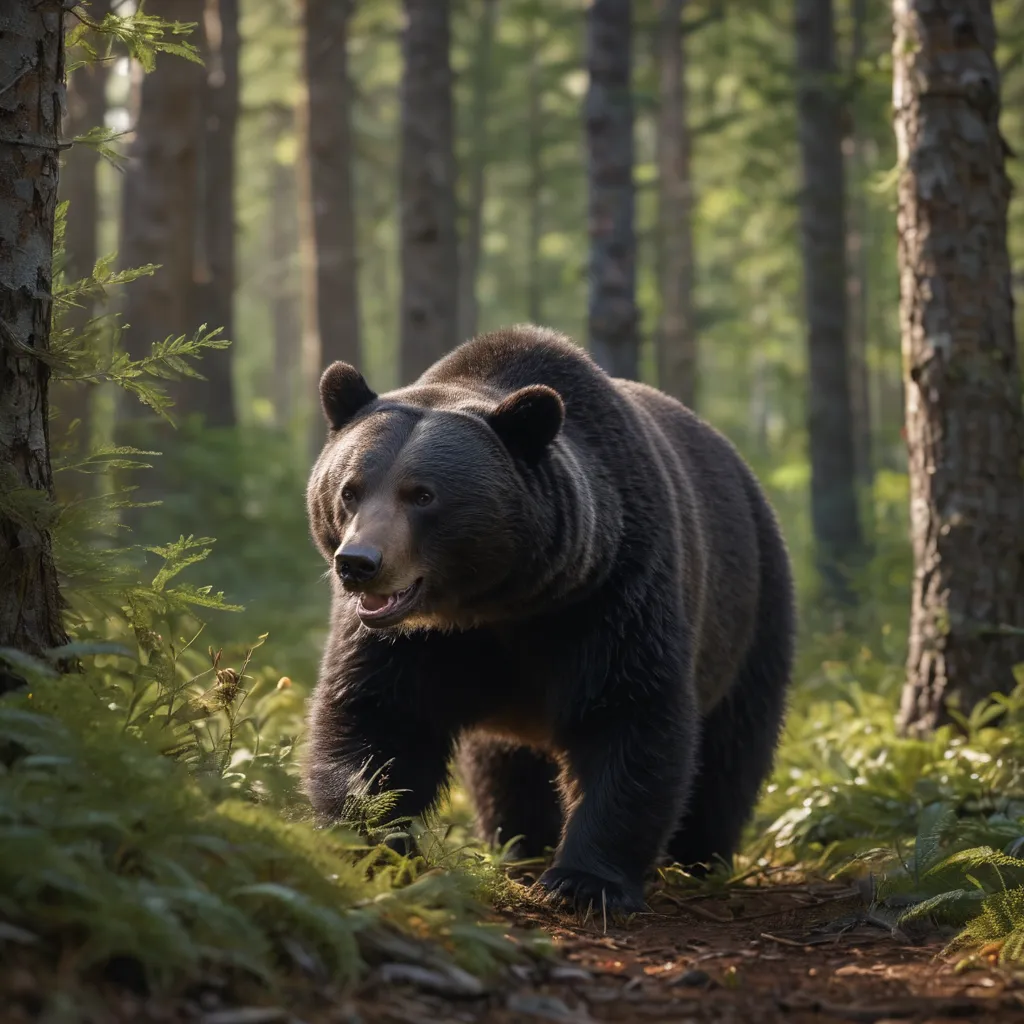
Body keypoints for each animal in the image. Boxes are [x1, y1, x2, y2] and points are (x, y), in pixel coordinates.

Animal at [303, 324, 795, 913]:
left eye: (422, 495)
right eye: (349, 489)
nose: (358, 563)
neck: (497, 603)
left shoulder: (613, 592)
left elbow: (629, 714)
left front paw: (585, 882)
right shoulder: (408, 644)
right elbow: (376, 721)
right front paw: (370, 845)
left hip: (754, 604)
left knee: (732, 748)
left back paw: (703, 857)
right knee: (503, 767)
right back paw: (520, 842)